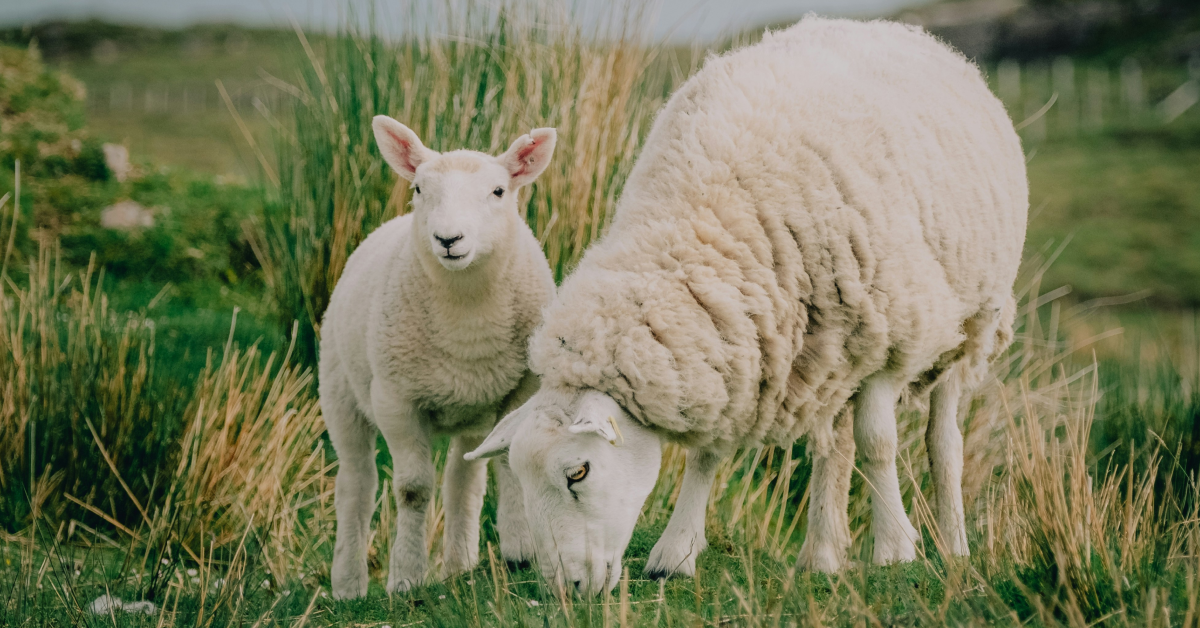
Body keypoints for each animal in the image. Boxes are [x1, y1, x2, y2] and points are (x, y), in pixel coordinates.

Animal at [321, 116, 558, 598]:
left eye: (498, 191)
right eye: (418, 189)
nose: (448, 239)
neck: (467, 315)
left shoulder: (523, 391)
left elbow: (507, 463)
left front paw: (520, 550)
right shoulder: (395, 400)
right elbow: (412, 489)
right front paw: (406, 577)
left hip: (473, 413)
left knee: (462, 482)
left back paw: (459, 566)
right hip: (340, 394)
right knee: (356, 484)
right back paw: (349, 585)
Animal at [465, 16, 1028, 595]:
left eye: (579, 472)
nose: (566, 589)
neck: (703, 216)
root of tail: (888, 27)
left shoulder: (893, 333)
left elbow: (879, 443)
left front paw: (895, 549)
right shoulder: (735, 341)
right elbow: (707, 455)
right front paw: (676, 552)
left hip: (971, 323)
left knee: (943, 440)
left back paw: (952, 543)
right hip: (835, 349)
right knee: (834, 444)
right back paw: (821, 552)